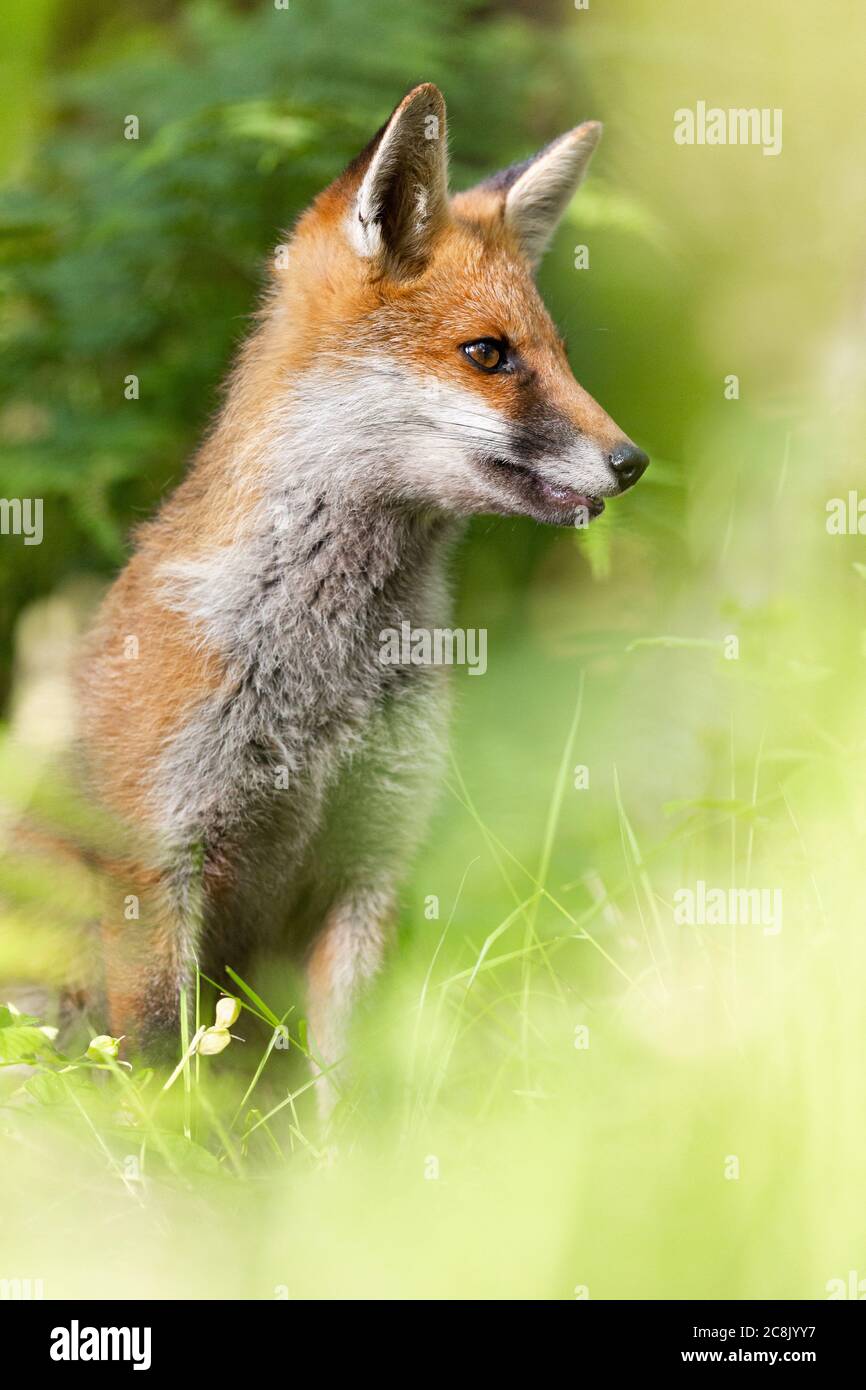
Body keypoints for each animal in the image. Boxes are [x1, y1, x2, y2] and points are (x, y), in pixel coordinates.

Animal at [77, 83, 648, 1114]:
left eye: (559, 353)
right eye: (489, 354)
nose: (633, 463)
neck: (322, 679)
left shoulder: (369, 861)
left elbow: (349, 1092)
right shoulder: (155, 868)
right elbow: (159, 1089)